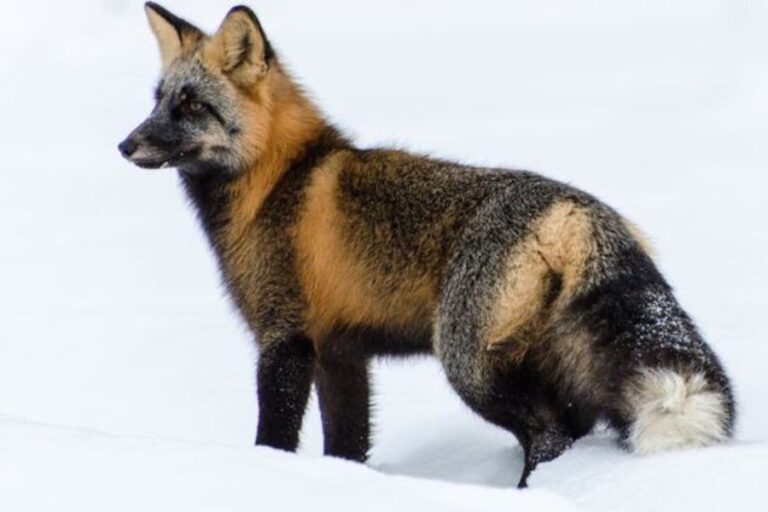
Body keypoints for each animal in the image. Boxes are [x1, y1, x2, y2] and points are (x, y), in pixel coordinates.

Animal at [119, 3, 735, 487]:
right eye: (158, 100)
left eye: (192, 106)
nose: (125, 145)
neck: (278, 178)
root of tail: (576, 210)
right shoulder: (341, 354)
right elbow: (347, 447)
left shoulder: (285, 339)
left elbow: (275, 436)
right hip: (552, 362)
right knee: (571, 430)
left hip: (468, 366)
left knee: (550, 433)